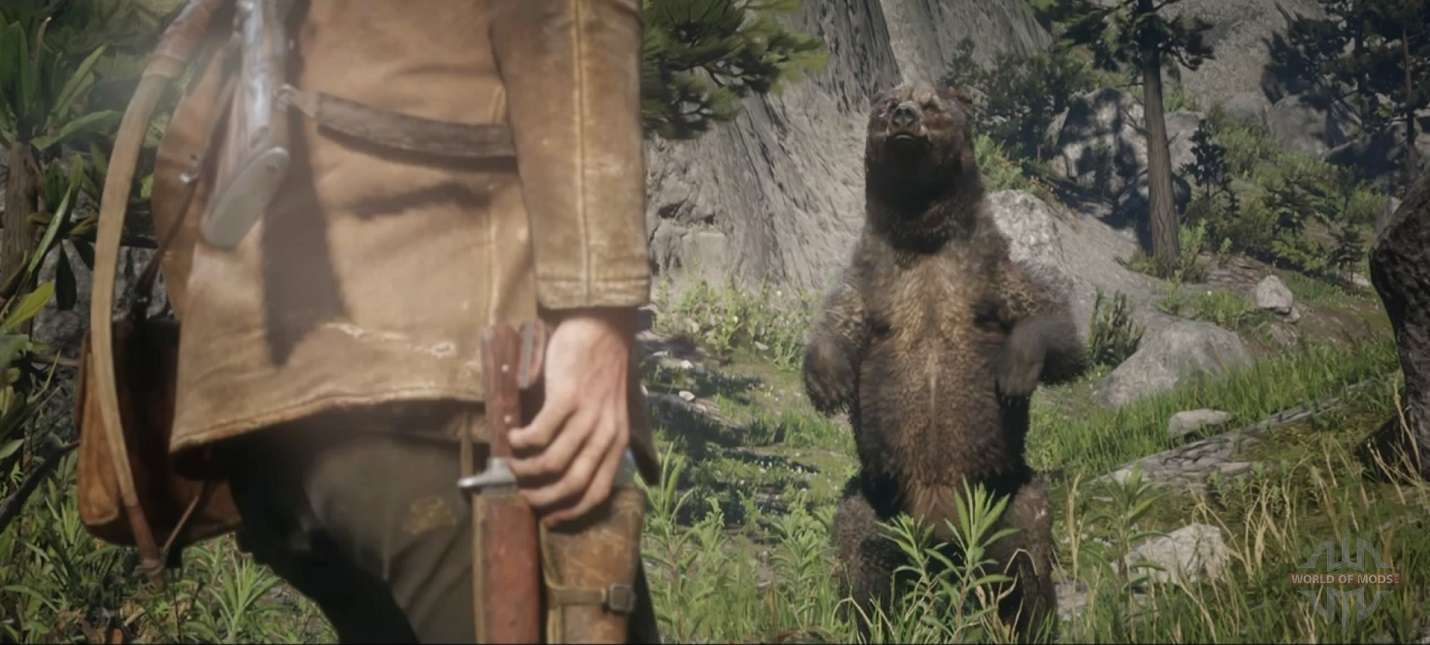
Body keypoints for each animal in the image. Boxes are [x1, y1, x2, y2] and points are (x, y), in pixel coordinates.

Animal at [803, 81, 1088, 639]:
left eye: (930, 102)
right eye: (885, 105)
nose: (904, 116)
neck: (924, 237)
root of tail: (944, 544)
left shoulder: (989, 273)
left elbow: (1055, 325)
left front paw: (1015, 370)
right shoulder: (874, 281)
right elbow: (838, 324)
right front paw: (829, 383)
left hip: (1006, 497)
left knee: (1027, 563)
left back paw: (1035, 621)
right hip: (878, 503)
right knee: (858, 558)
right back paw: (869, 621)